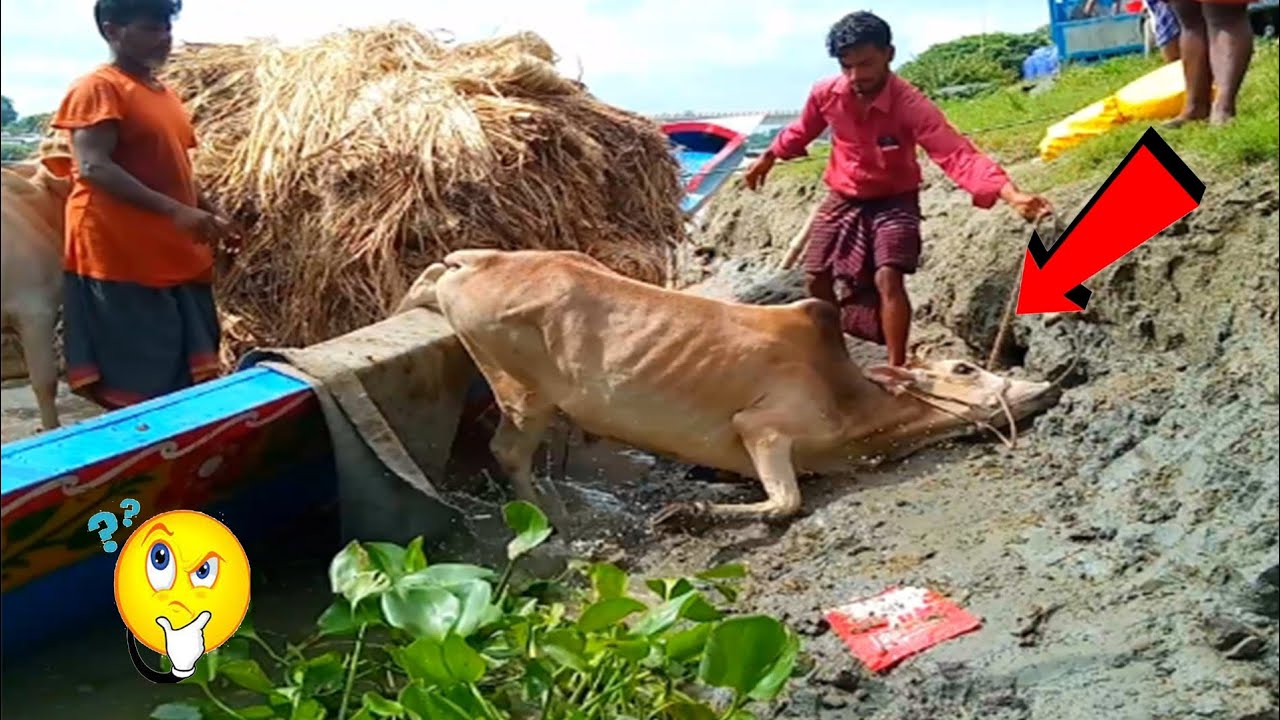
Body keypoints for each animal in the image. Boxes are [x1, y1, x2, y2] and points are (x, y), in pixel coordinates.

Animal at [394, 248, 1061, 528]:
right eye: (965, 369)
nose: (1047, 385)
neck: (855, 410)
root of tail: (476, 260)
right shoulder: (764, 430)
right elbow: (786, 502)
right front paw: (685, 514)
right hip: (520, 389)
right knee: (508, 451)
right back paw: (553, 518)